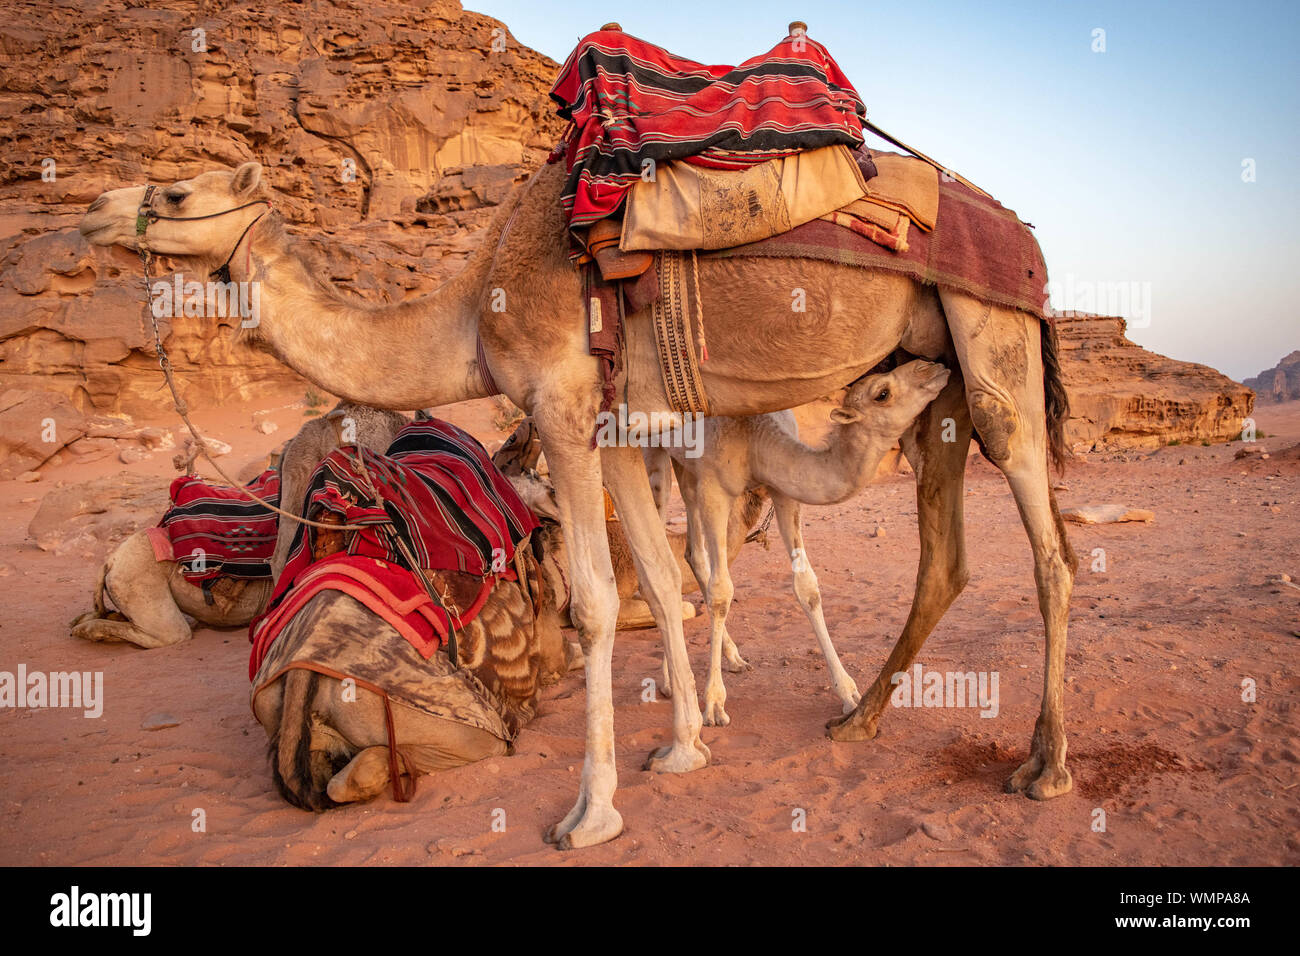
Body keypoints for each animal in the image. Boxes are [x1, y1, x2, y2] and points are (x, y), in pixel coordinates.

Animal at [656, 359, 951, 727]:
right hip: (655, 455)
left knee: (692, 554)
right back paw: (669, 680)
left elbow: (806, 586)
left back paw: (732, 659)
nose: (933, 366)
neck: (755, 439)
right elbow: (721, 591)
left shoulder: (782, 491)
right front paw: (713, 703)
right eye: (882, 393)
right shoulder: (714, 488)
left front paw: (849, 693)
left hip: (685, 469)